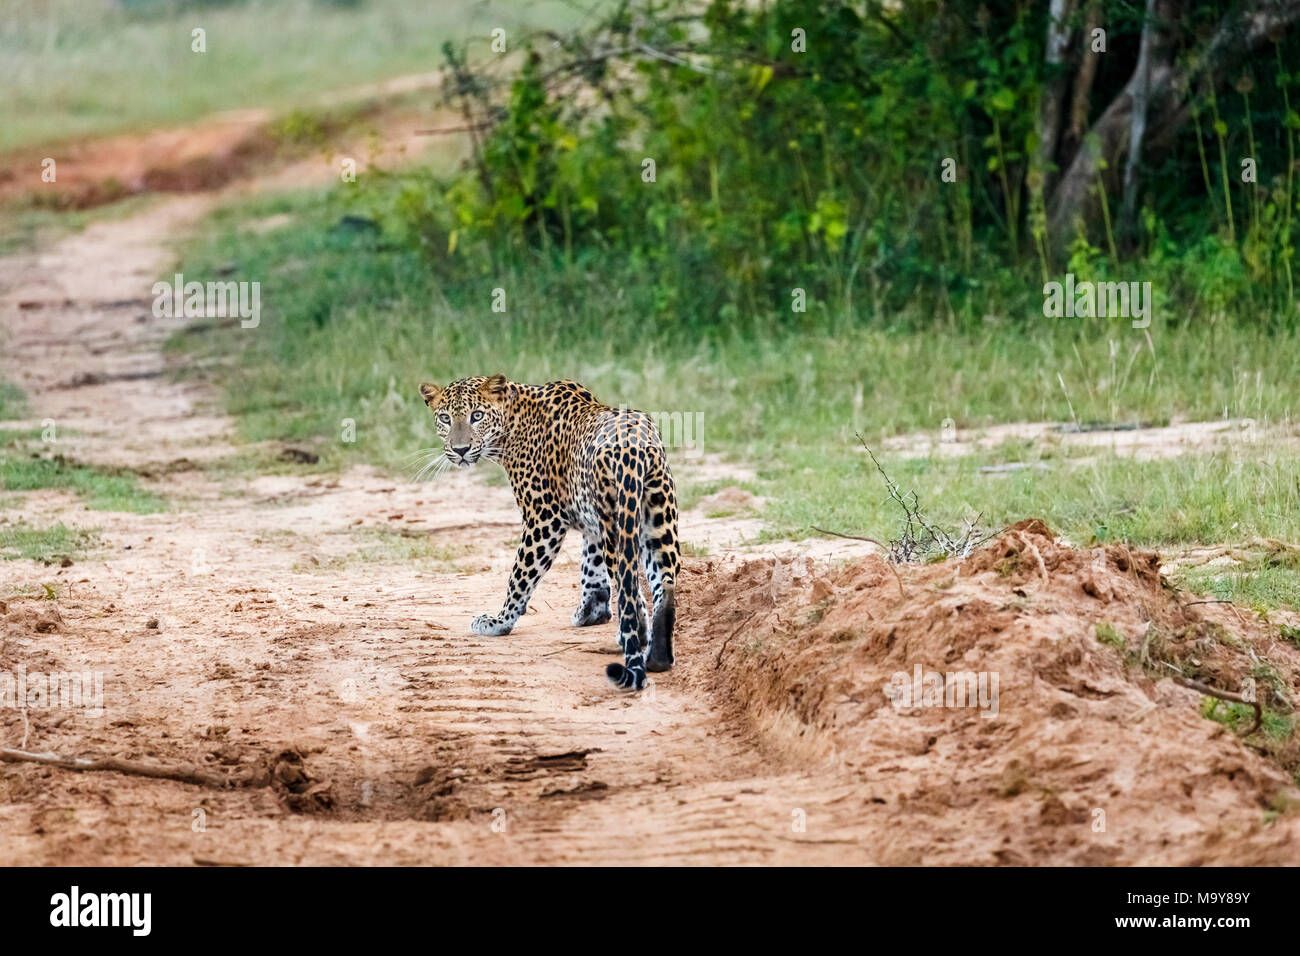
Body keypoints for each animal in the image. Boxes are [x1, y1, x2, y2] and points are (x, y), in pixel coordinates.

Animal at [418, 375, 681, 691]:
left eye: (476, 416)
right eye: (445, 418)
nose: (460, 450)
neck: (512, 423)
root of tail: (632, 448)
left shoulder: (543, 519)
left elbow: (520, 575)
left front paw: (499, 622)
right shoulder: (590, 515)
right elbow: (590, 565)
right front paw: (591, 612)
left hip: (620, 523)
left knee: (630, 590)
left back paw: (636, 638)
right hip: (658, 517)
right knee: (664, 582)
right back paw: (657, 657)